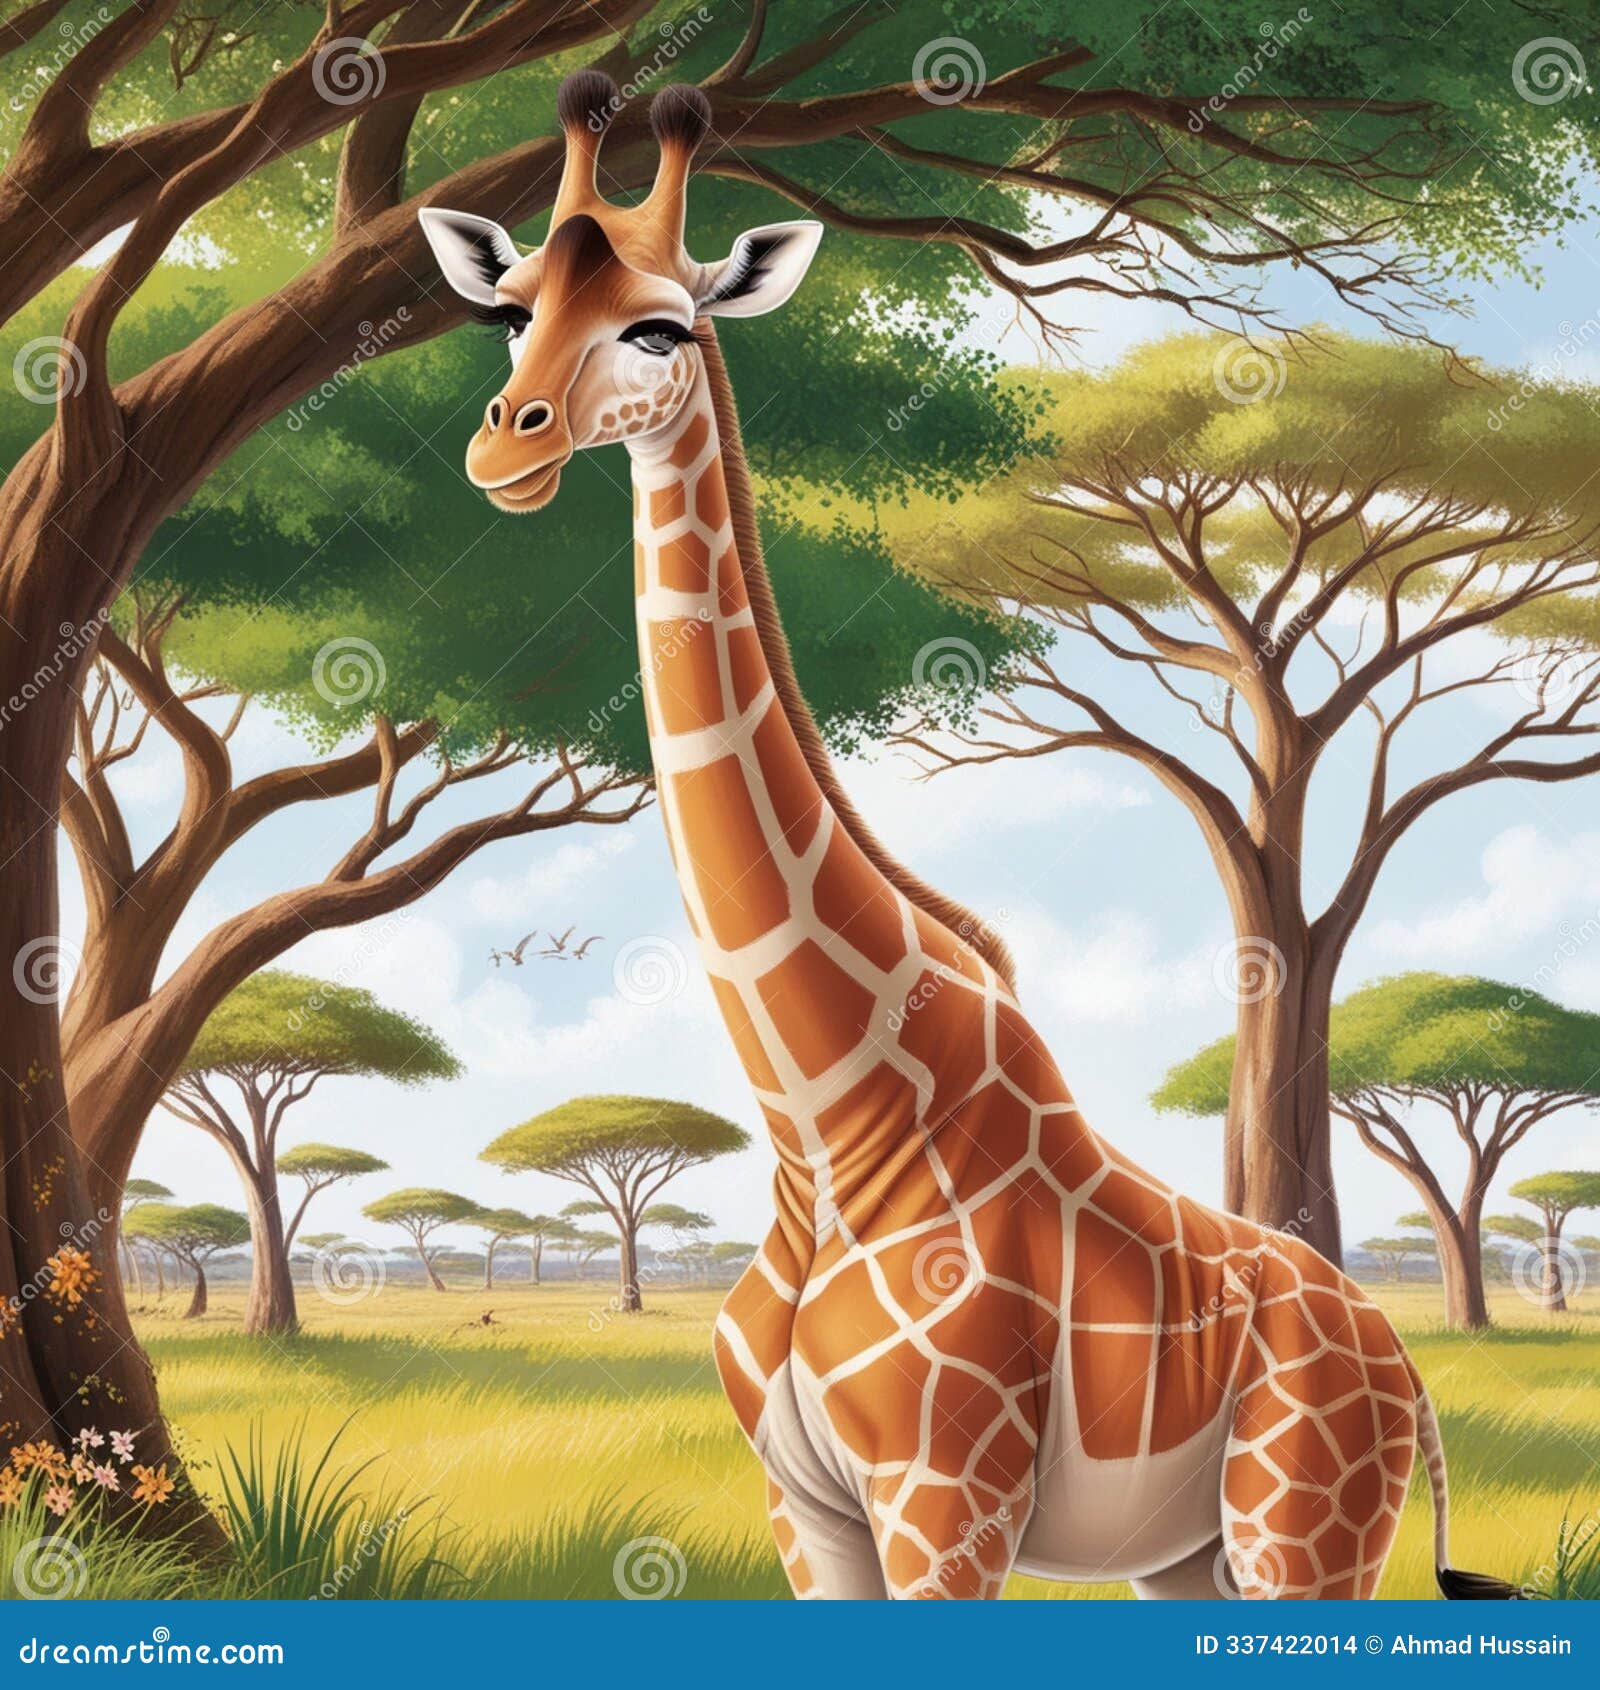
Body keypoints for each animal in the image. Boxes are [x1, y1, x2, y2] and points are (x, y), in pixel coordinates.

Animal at [420, 73, 1517, 1603]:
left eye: (661, 324)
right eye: (510, 307)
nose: (503, 448)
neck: (824, 1131)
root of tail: (1408, 1365)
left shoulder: (947, 1501)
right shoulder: (808, 1509)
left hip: (1302, 1535)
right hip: (1188, 1554)